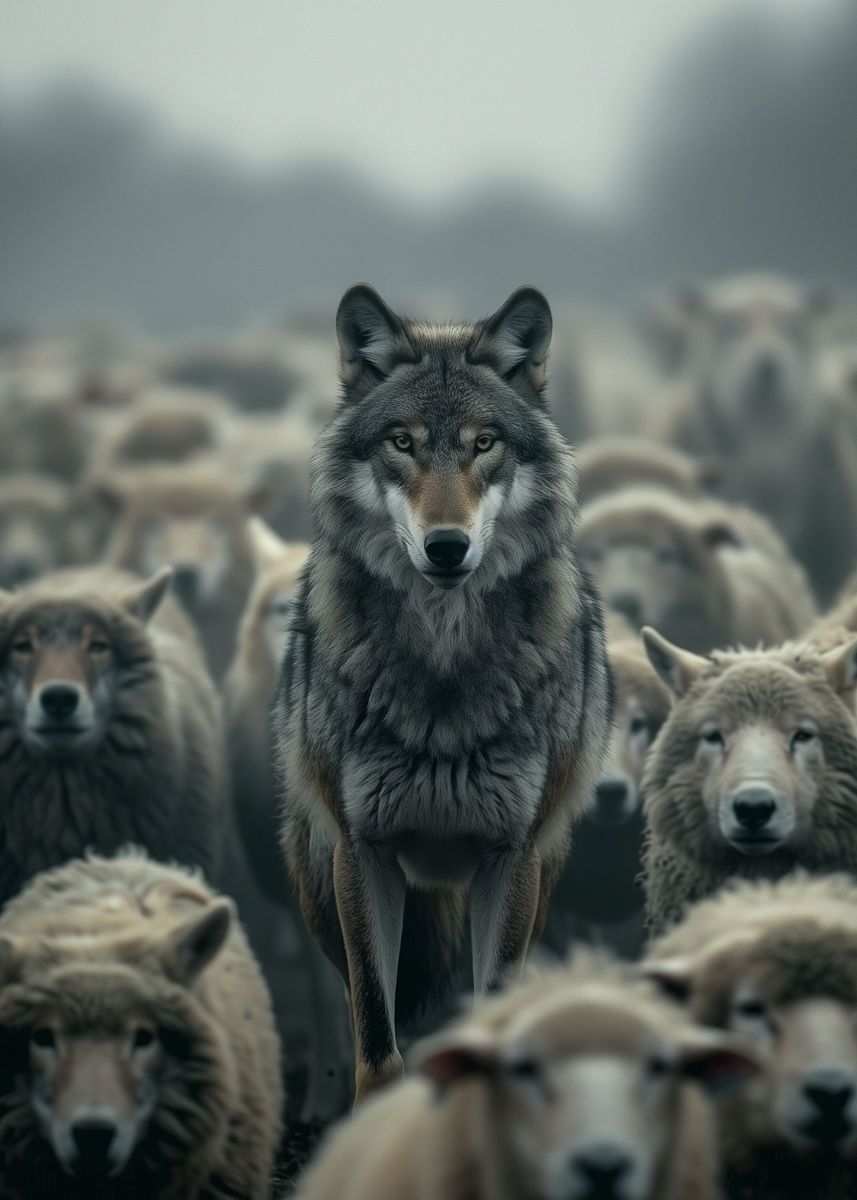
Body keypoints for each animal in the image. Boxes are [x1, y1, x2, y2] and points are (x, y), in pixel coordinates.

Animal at [277, 284, 612, 1100]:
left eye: (483, 444)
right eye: (402, 443)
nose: (447, 547)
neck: (442, 665)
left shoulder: (510, 859)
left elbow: (491, 1011)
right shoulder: (362, 853)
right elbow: (376, 1029)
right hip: (317, 885)